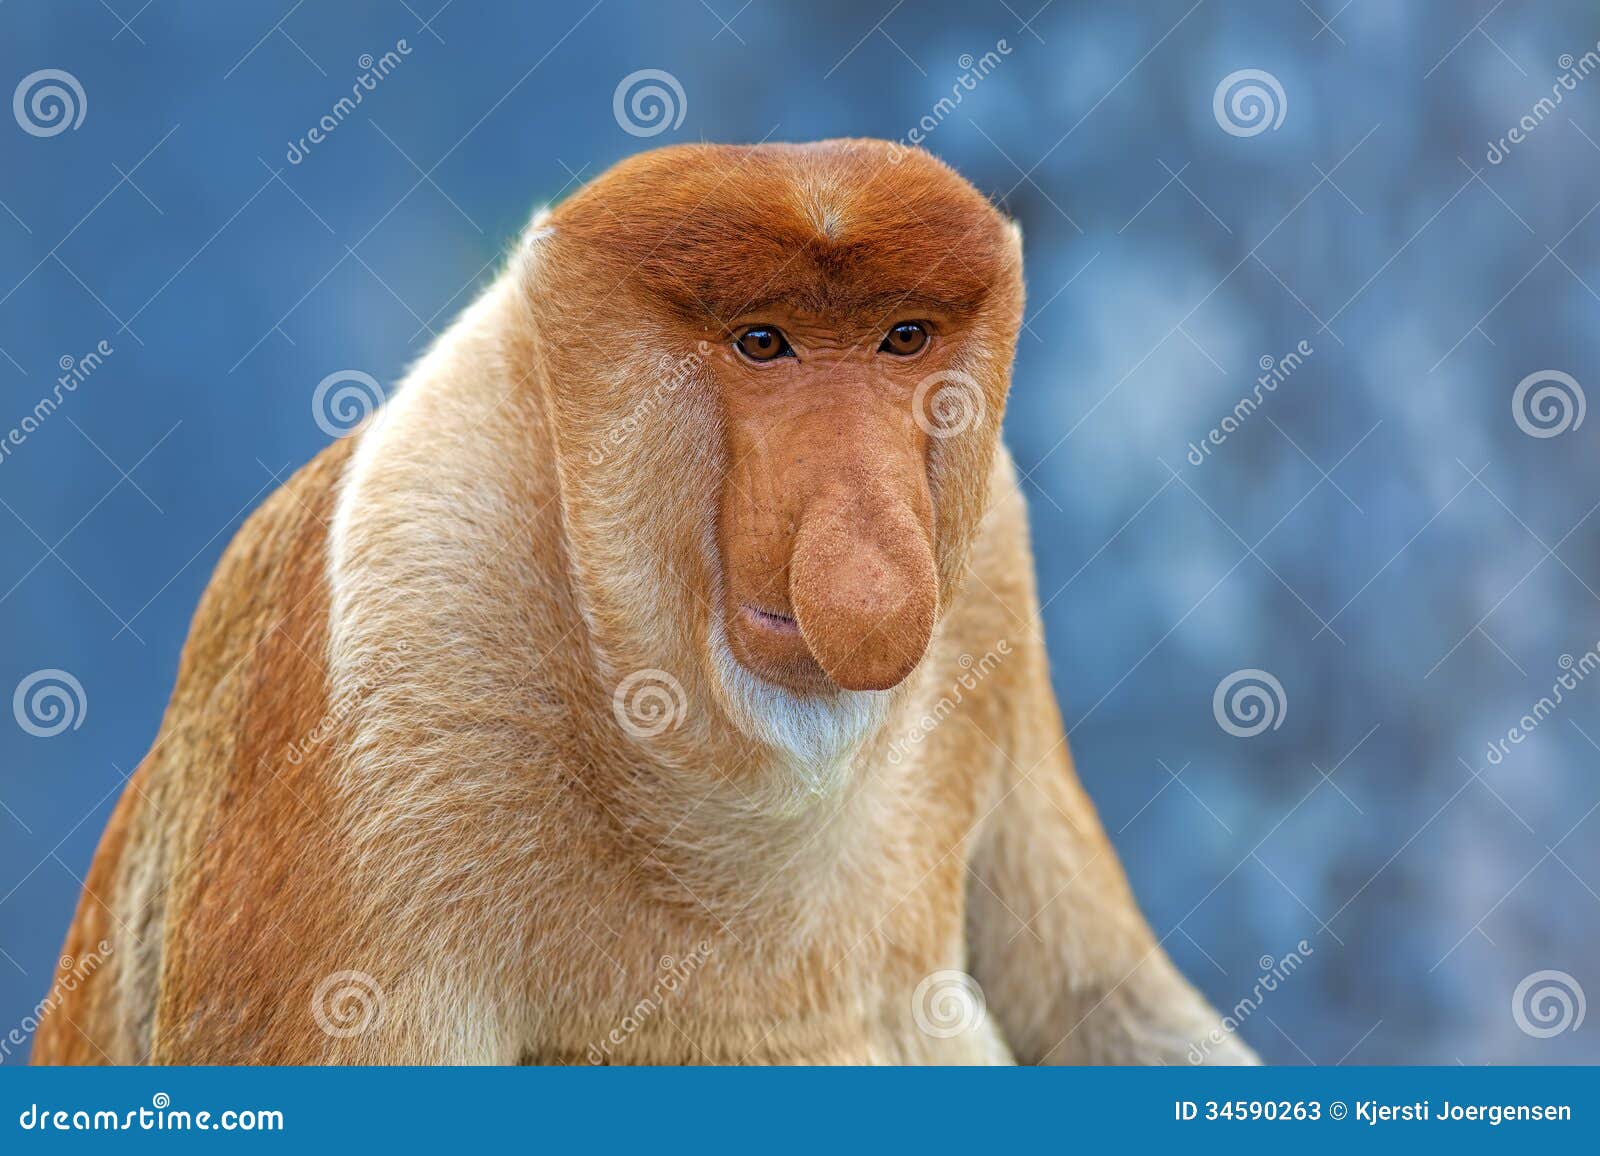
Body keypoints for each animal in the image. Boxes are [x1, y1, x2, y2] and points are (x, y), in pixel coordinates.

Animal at [31, 140, 1255, 1065]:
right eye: (762, 341)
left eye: (903, 337)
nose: (872, 569)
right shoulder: (410, 619)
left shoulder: (989, 560)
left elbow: (1114, 1007)